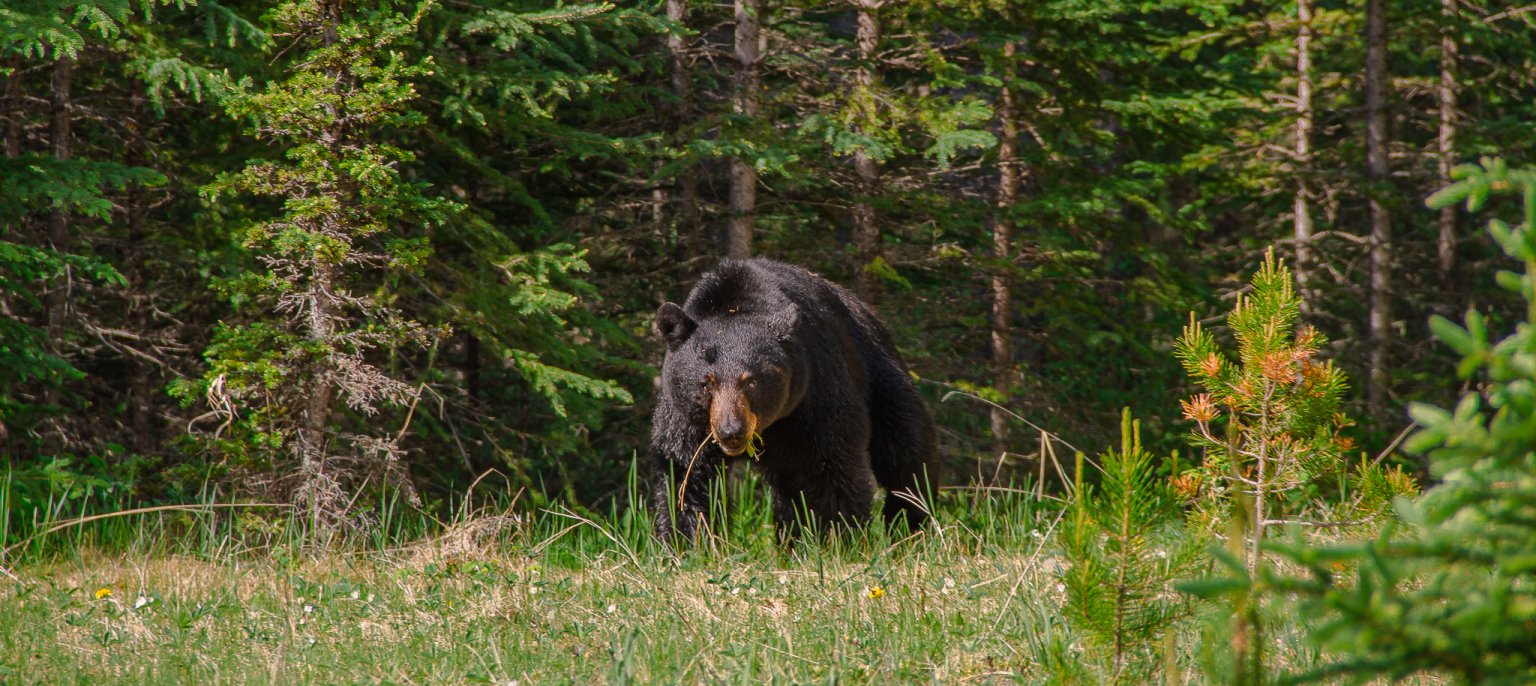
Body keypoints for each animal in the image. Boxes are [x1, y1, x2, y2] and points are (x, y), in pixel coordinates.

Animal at [649, 258, 939, 542]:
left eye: (750, 381)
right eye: (707, 383)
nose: (731, 432)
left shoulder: (815, 390)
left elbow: (834, 465)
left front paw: (840, 537)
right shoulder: (685, 417)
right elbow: (686, 475)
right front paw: (686, 541)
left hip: (881, 375)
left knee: (906, 453)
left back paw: (909, 525)